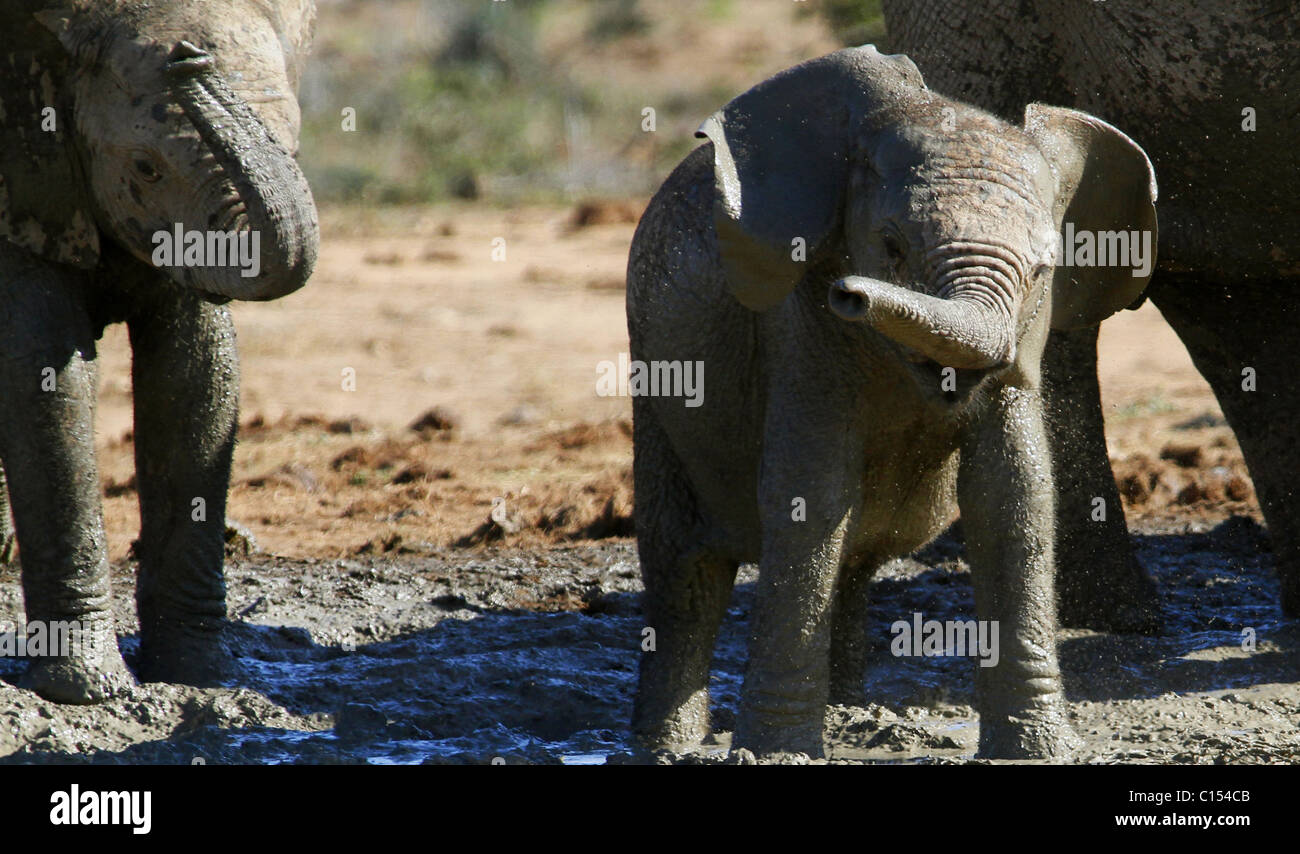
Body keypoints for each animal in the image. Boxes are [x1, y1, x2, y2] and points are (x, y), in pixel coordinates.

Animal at [0, 0, 318, 702]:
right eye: (146, 167)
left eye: (292, 148)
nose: (187, 60)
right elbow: (44, 373)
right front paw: (90, 690)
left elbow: (193, 372)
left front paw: (197, 679)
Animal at [625, 45, 1157, 759]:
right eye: (891, 246)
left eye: (1044, 271)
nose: (851, 293)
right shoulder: (798, 326)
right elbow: (810, 493)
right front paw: (776, 752)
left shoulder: (1024, 345)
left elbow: (1012, 494)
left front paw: (1037, 750)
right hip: (654, 373)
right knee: (686, 568)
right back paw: (667, 746)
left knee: (855, 556)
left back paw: (851, 714)